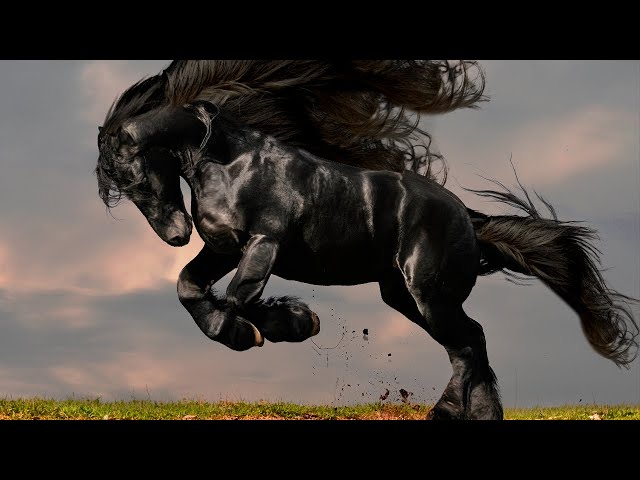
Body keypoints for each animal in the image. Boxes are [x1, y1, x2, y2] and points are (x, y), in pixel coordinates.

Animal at [95, 100, 639, 420]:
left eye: (134, 177)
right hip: (405, 298)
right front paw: (245, 333)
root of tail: (467, 217)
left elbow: (238, 296)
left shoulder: (263, 244)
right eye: (120, 185)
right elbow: (190, 288)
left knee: (468, 342)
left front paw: (293, 323)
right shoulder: (223, 248)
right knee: (471, 343)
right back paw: (478, 413)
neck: (230, 163)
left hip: (430, 296)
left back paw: (449, 412)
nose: (175, 235)